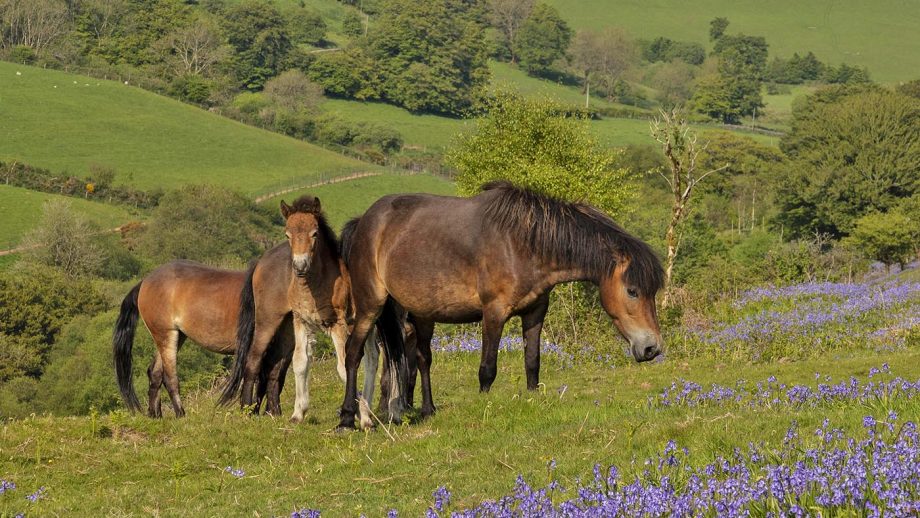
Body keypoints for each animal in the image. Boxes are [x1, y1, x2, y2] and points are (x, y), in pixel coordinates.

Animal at [113, 261, 294, 418]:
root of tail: (145, 281)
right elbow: (264, 378)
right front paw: (258, 411)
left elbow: (277, 377)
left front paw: (270, 412)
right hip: (166, 335)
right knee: (169, 376)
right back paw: (180, 414)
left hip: (175, 336)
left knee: (155, 372)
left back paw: (155, 415)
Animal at [219, 195, 403, 427]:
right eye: (287, 234)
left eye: (314, 233)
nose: (300, 266)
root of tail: (260, 261)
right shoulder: (302, 321)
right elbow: (301, 362)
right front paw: (298, 414)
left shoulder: (338, 324)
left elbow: (342, 367)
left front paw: (356, 415)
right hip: (271, 321)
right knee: (255, 358)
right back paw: (248, 410)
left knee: (375, 359)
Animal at [335, 181, 665, 429]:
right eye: (633, 291)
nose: (652, 348)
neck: (522, 243)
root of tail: (363, 222)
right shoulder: (493, 313)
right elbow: (487, 369)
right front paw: (484, 404)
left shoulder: (535, 312)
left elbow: (532, 362)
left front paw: (532, 396)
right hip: (370, 306)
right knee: (353, 354)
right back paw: (347, 418)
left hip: (421, 314)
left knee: (421, 358)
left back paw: (427, 410)